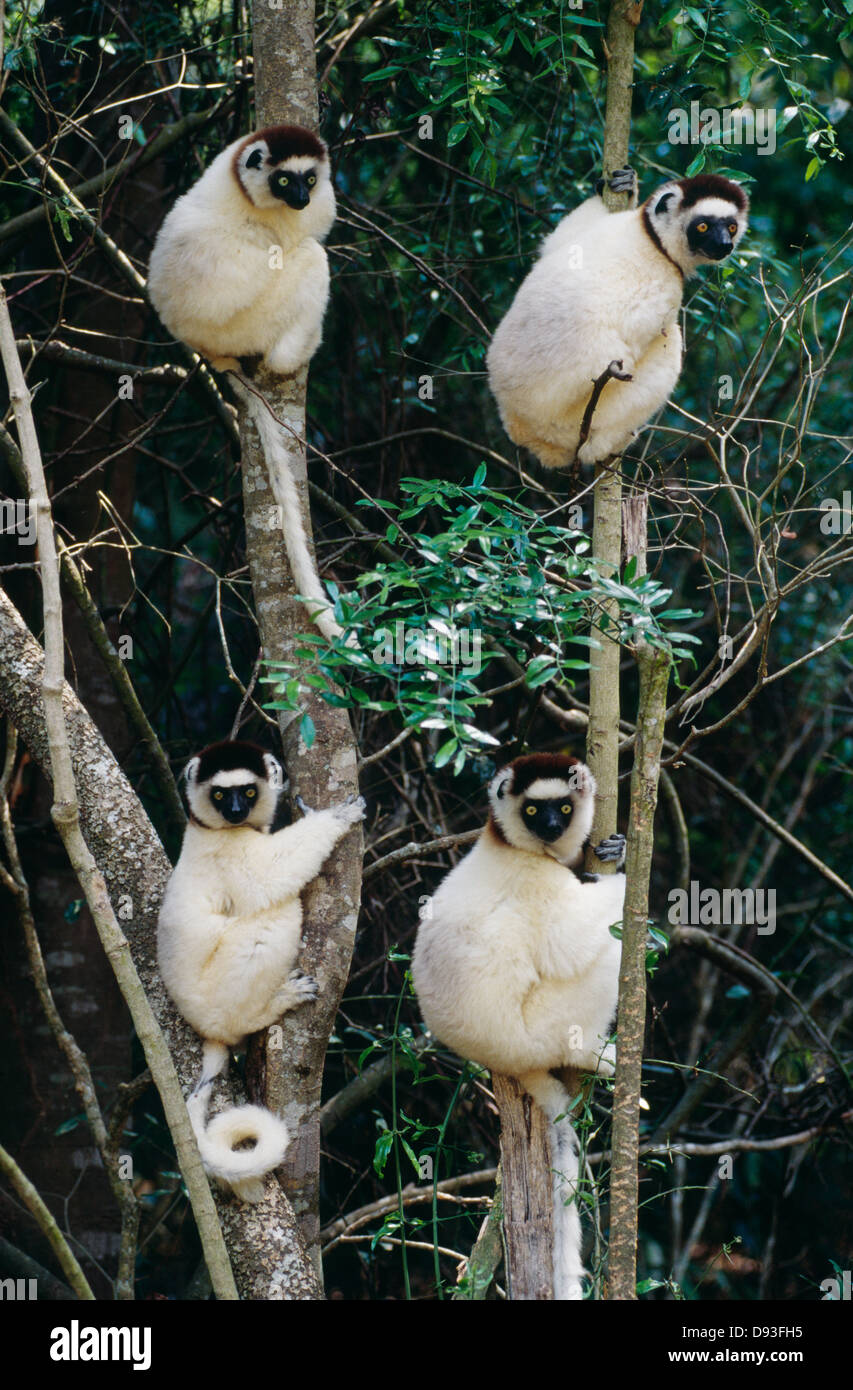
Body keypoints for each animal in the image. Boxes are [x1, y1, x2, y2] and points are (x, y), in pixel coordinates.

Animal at [147, 125, 345, 643]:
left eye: (308, 179)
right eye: (284, 181)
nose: (301, 198)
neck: (243, 187)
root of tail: (206, 346)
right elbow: (300, 239)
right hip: (249, 323)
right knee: (311, 260)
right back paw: (296, 352)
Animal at [157, 739, 365, 1201]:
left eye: (247, 791)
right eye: (220, 794)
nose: (235, 811)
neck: (215, 829)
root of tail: (207, 1028)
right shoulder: (229, 852)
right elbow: (267, 880)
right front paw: (337, 817)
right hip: (220, 994)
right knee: (275, 912)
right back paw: (274, 1004)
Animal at [410, 753, 626, 1298]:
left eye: (563, 807)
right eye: (533, 810)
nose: (550, 828)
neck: (508, 843)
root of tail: (507, 1060)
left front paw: (614, 849)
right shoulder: (535, 883)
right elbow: (573, 940)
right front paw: (625, 879)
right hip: (547, 1026)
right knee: (602, 954)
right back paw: (596, 1055)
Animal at [487, 169, 749, 470]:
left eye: (731, 227)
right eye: (703, 226)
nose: (724, 245)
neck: (652, 239)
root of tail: (521, 425)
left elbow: (558, 242)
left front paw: (623, 187)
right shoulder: (665, 288)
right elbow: (620, 351)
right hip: (574, 421)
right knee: (668, 341)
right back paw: (605, 446)